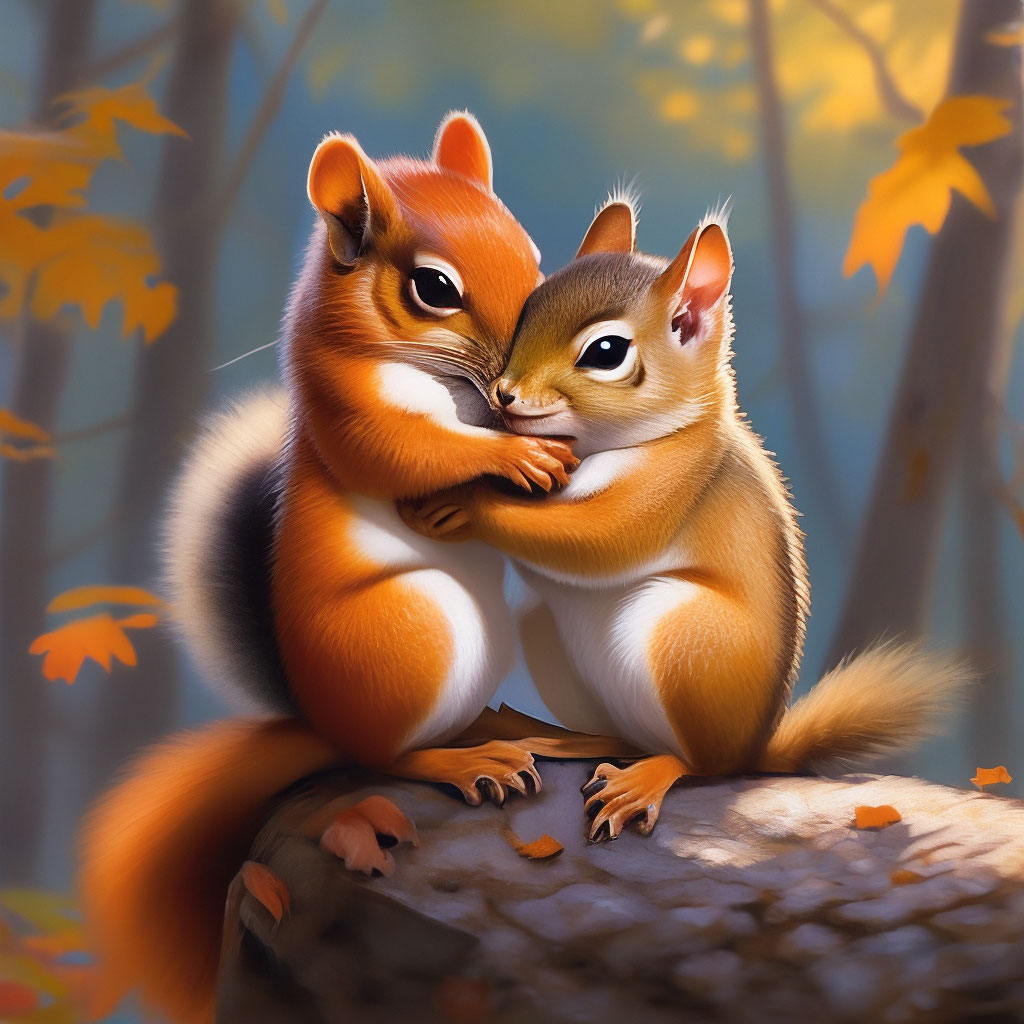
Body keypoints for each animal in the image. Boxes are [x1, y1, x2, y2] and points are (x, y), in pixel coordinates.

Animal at [79, 114, 634, 1024]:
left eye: (531, 254)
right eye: (433, 287)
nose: (521, 379)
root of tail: (321, 722)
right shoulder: (353, 412)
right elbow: (414, 452)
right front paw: (516, 455)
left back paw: (502, 731)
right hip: (412, 640)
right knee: (391, 755)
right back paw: (464, 763)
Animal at [400, 196, 973, 842]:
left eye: (606, 352)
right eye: (529, 308)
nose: (504, 394)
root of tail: (755, 749)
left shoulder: (674, 488)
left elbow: (598, 540)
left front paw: (466, 504)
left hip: (685, 637)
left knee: (697, 763)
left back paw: (643, 781)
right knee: (624, 736)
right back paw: (558, 736)